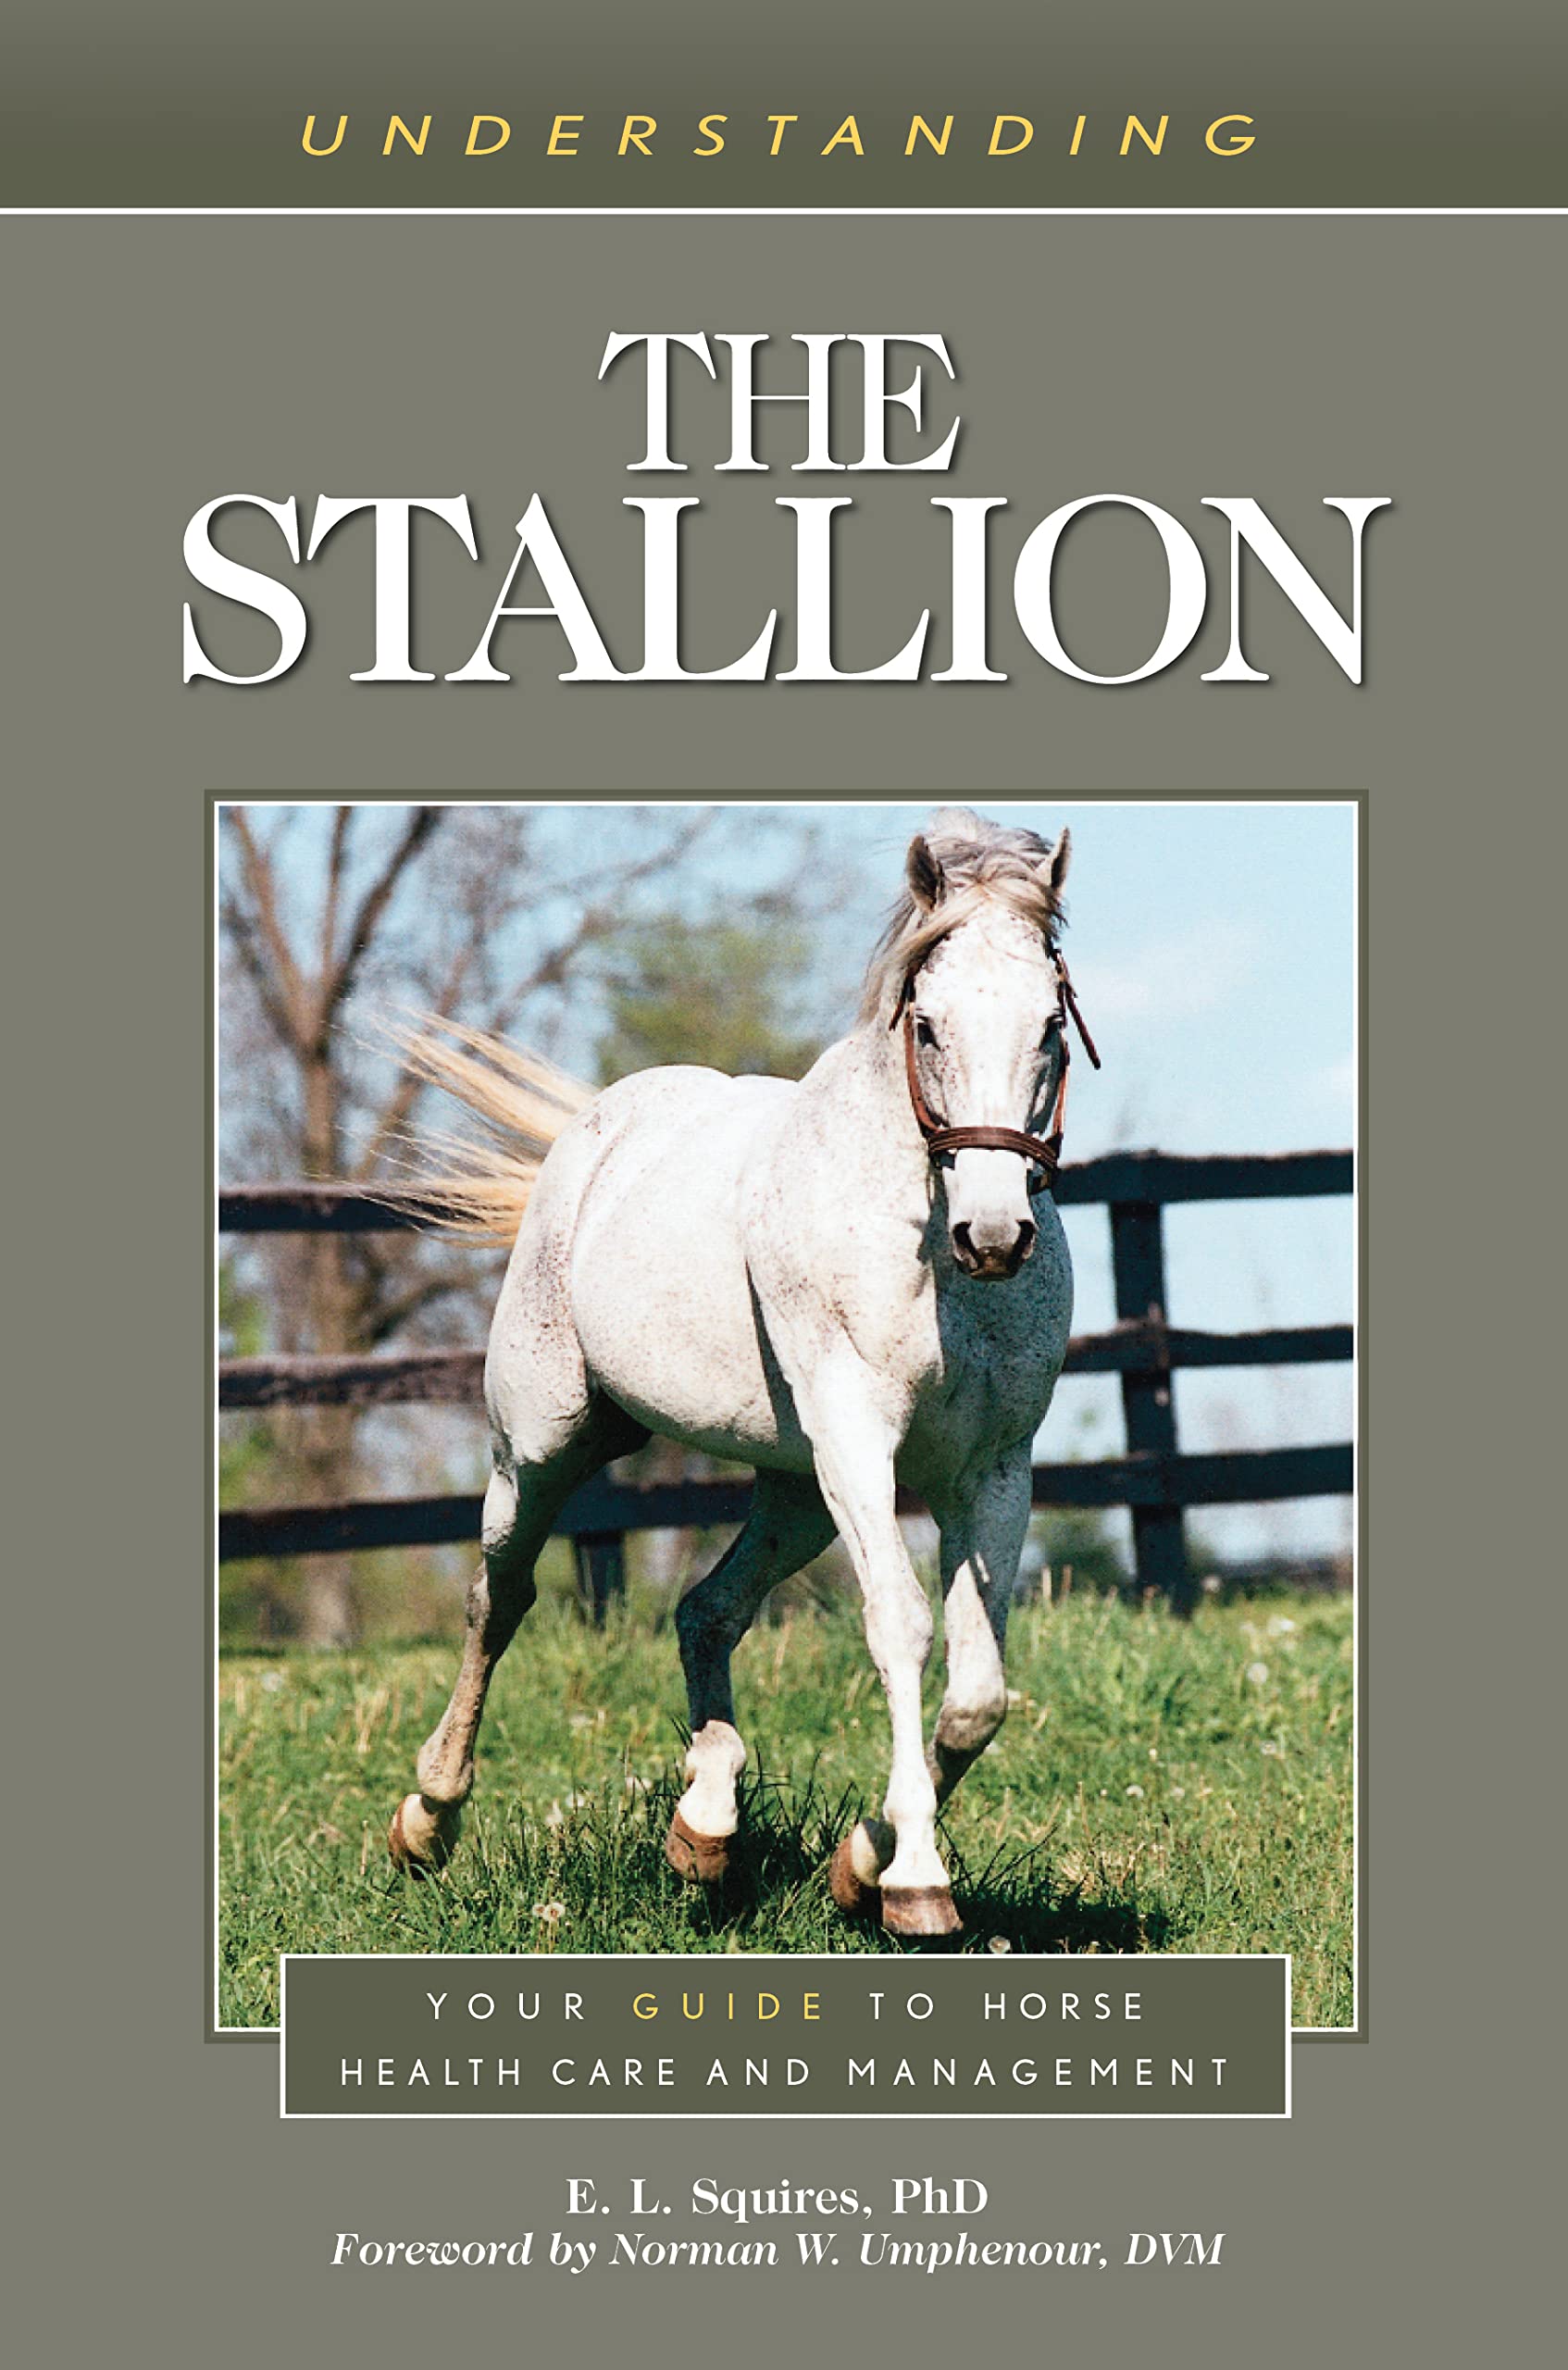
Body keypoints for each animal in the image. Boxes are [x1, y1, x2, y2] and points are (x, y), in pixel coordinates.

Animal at [388, 808, 1099, 1938]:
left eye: (1049, 1027)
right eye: (928, 1025)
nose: (995, 1236)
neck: (928, 1258)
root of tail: (597, 1129)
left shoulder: (992, 1471)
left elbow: (979, 1689)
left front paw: (861, 1862)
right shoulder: (859, 1444)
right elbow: (900, 1628)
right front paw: (915, 1882)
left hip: (794, 1493)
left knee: (705, 1611)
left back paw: (706, 1829)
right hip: (543, 1448)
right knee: (497, 1598)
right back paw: (427, 1821)